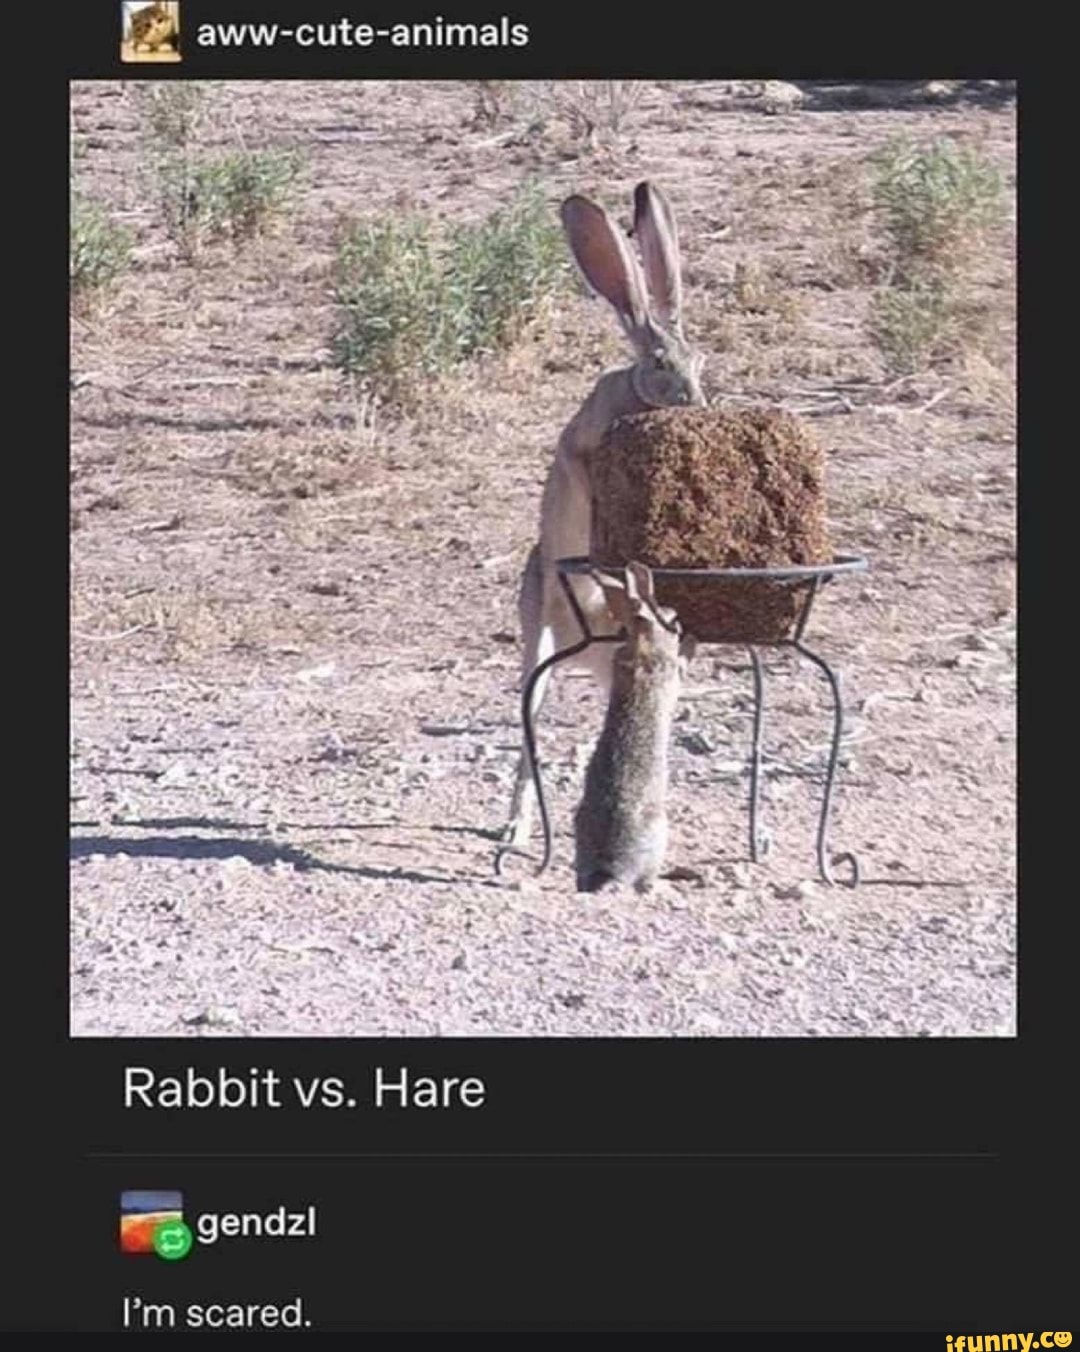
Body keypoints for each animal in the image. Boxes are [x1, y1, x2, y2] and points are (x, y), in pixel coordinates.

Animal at [501, 181, 706, 855]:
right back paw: (515, 828)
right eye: (662, 363)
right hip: (538, 638)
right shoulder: (579, 451)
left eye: (699, 360)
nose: (696, 401)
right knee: (531, 722)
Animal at [574, 563, 695, 894]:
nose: (682, 626)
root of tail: (609, 867)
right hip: (659, 831)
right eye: (673, 619)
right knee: (645, 882)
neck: (642, 644)